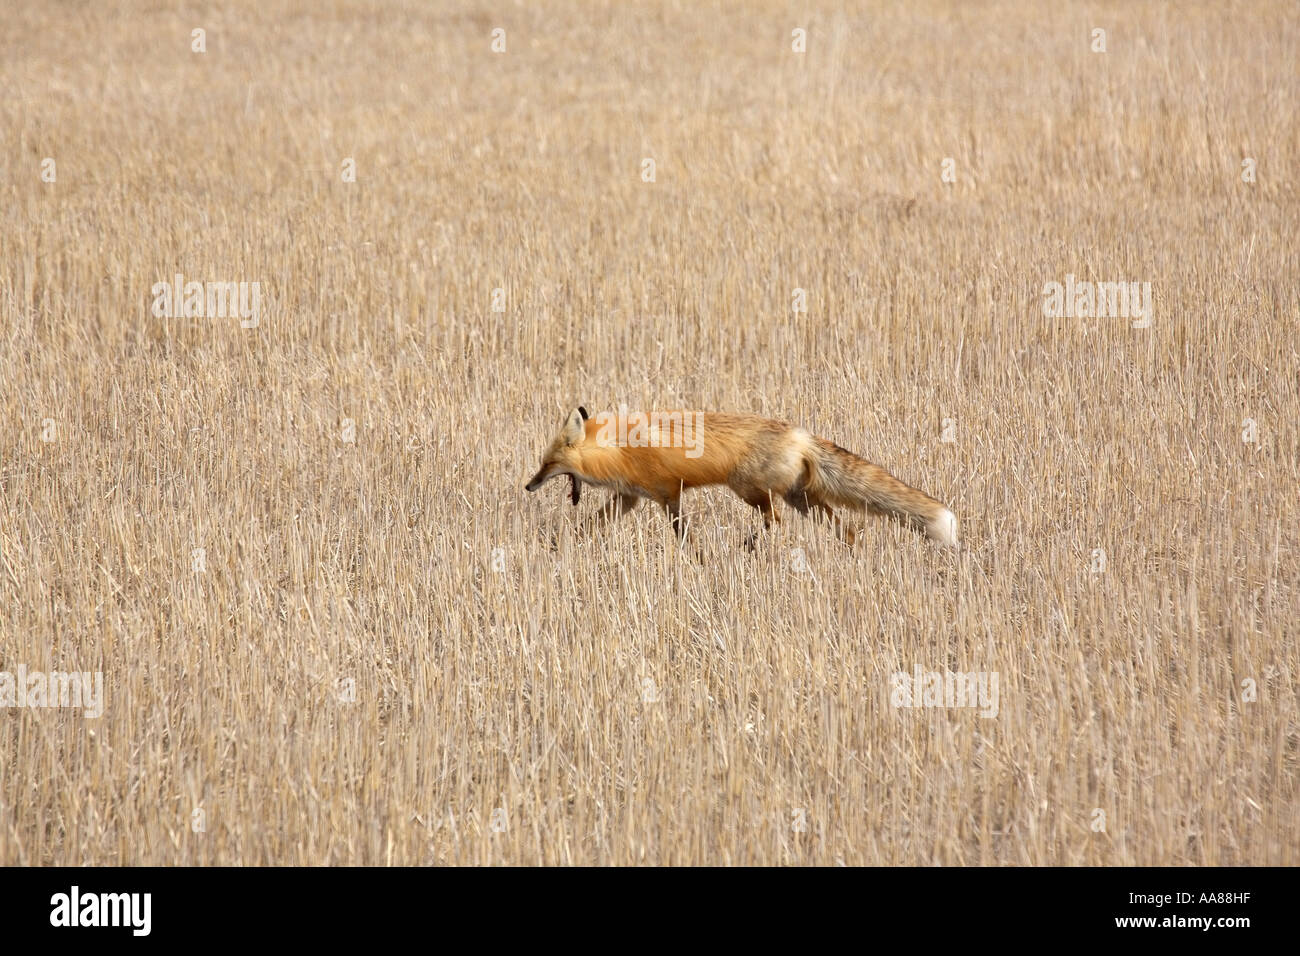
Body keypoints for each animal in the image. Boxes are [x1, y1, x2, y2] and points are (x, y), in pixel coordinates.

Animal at [524, 406, 958, 550]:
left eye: (547, 464)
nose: (528, 485)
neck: (618, 450)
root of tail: (800, 433)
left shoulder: (669, 493)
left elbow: (682, 532)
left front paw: (695, 558)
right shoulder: (630, 498)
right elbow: (589, 525)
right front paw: (561, 544)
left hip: (751, 490)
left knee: (774, 521)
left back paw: (749, 545)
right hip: (802, 499)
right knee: (845, 528)